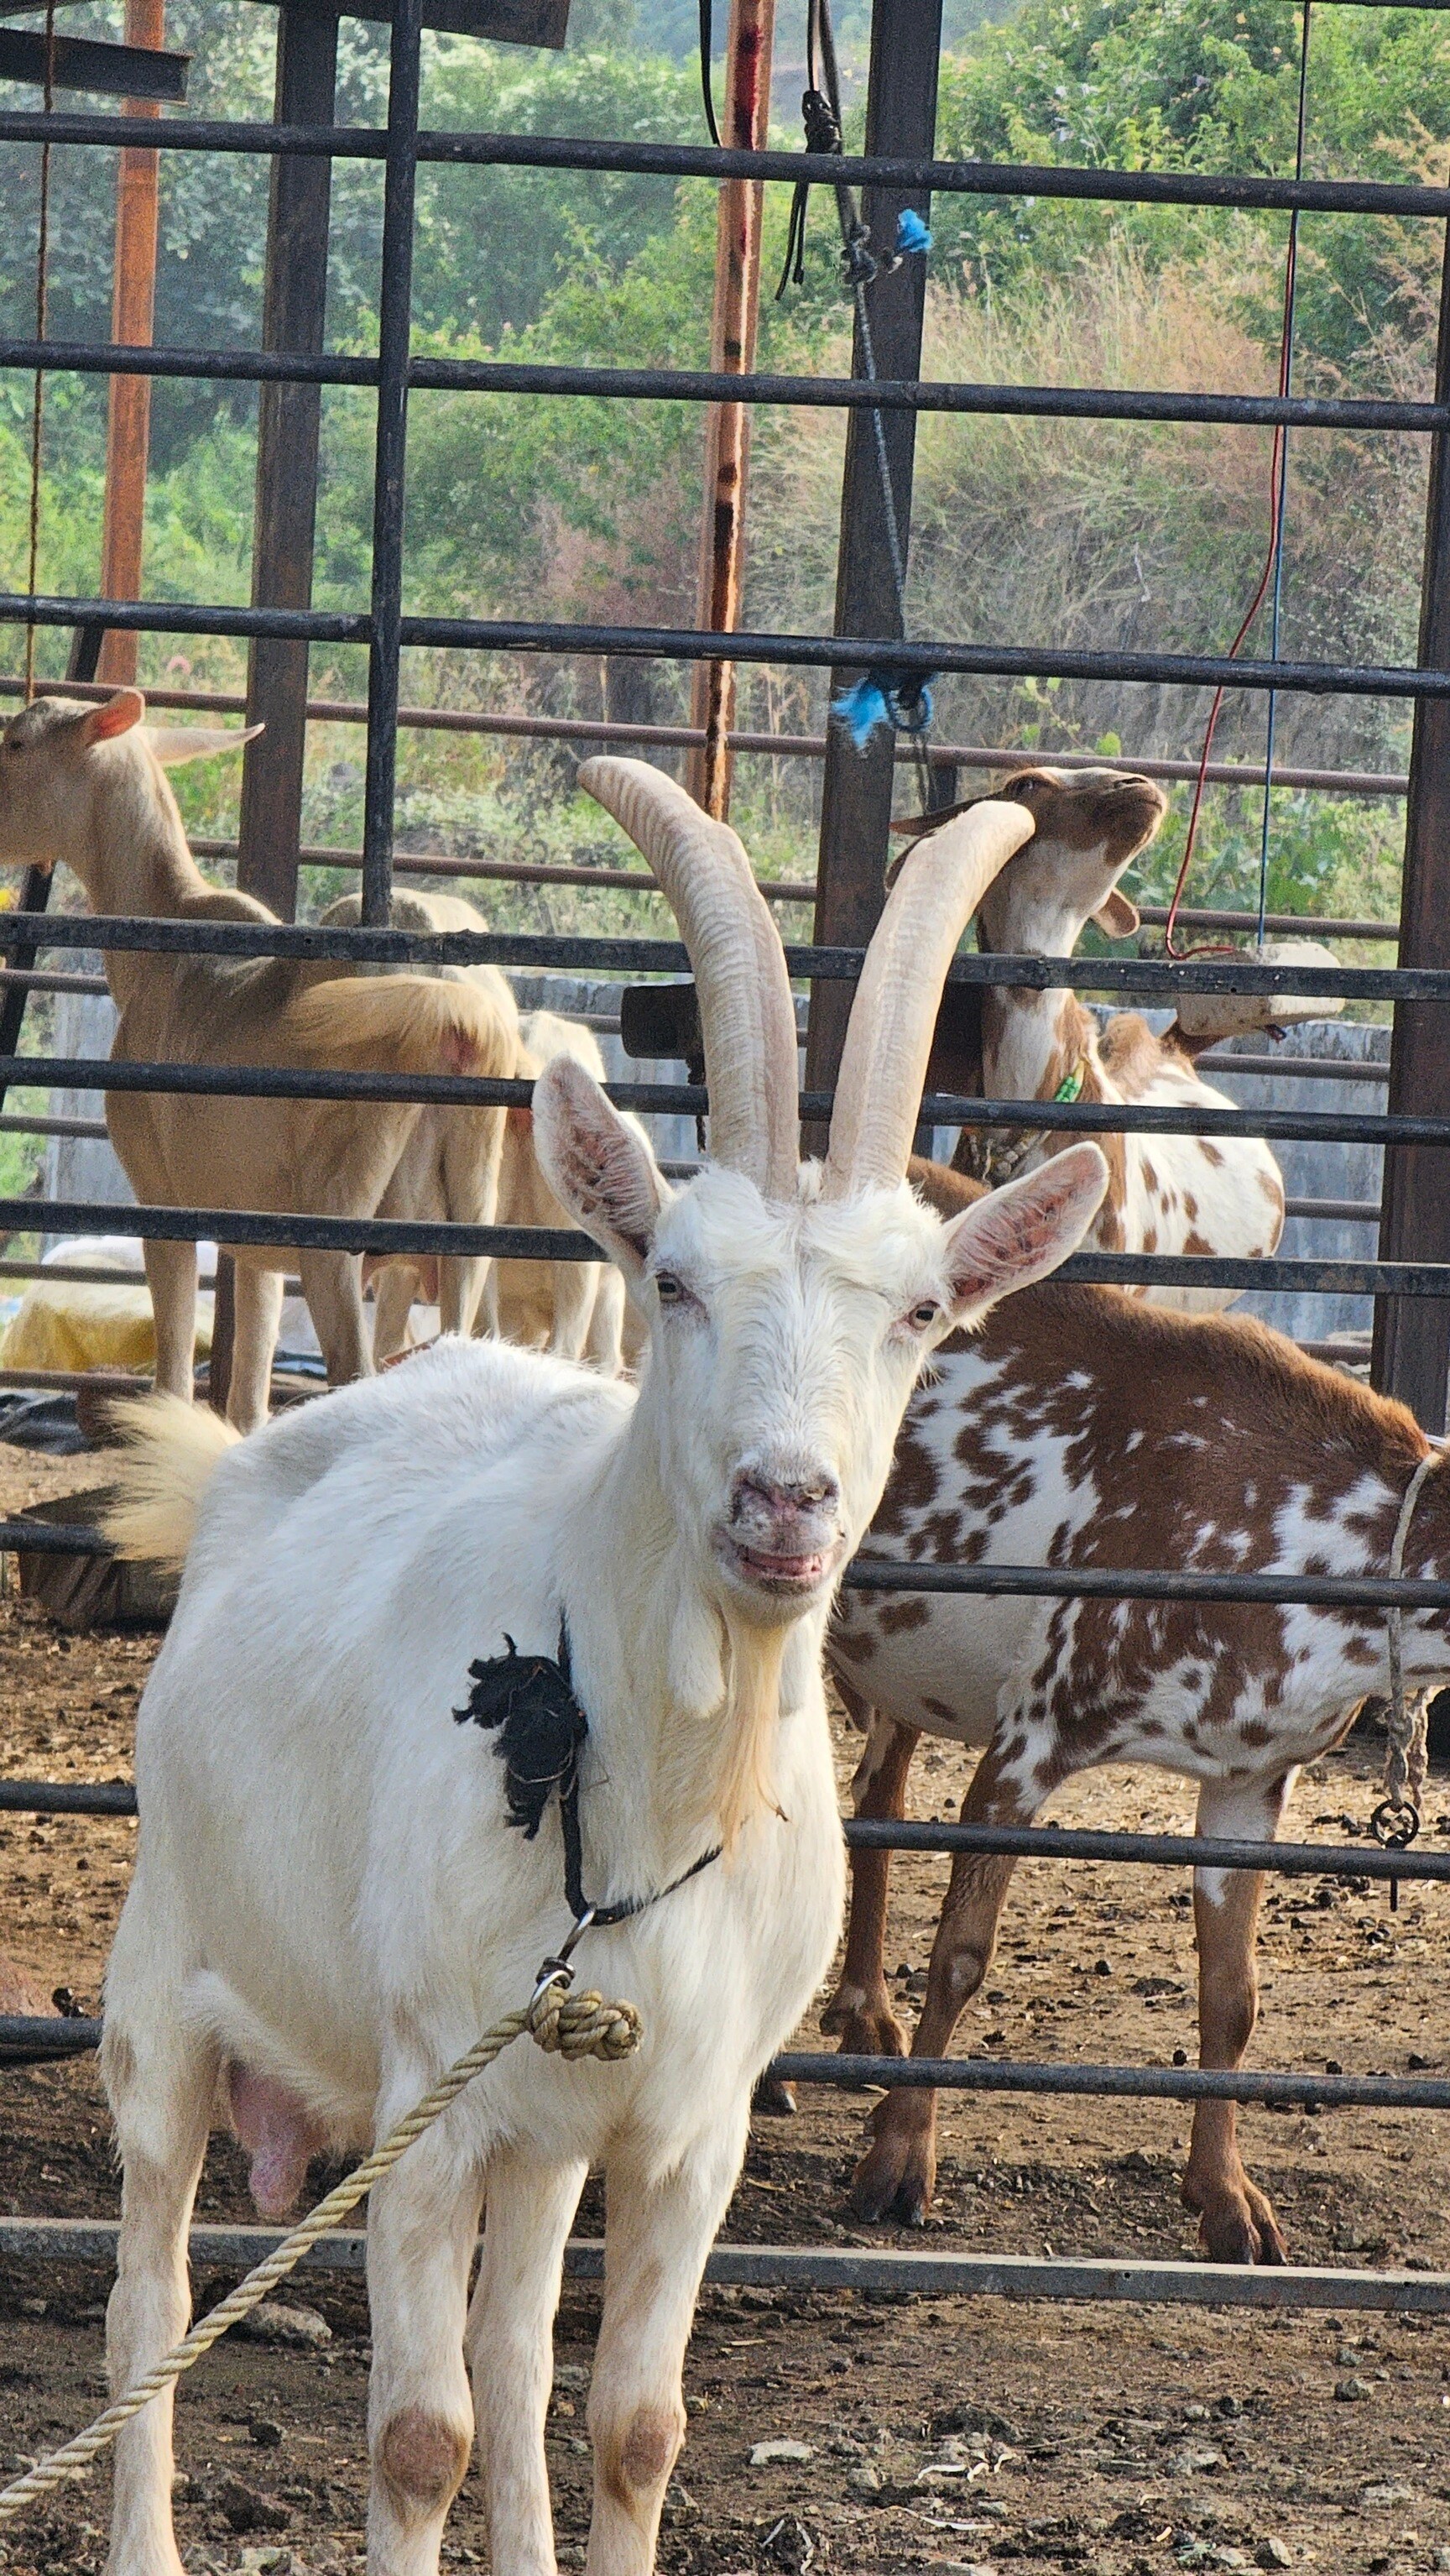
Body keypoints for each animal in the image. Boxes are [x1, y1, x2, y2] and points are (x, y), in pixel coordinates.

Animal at [0, 692, 516, 1432]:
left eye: (15, 741)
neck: (152, 940)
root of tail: (453, 1001)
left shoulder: (162, 1195)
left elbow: (174, 1377)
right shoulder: (255, 1229)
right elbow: (248, 1392)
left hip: (336, 1209)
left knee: (356, 1369)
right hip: (472, 1212)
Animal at [96, 761, 1107, 2576]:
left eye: (924, 1308)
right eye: (674, 1277)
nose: (784, 1497)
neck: (654, 1794)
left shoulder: (686, 2127)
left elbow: (633, 2421)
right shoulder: (429, 2095)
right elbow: (417, 2433)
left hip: (550, 2116)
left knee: (511, 2337)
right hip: (170, 1982)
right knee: (148, 2297)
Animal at [825, 1154, 1450, 2264]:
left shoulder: (1252, 1775)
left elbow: (1233, 1998)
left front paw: (1228, 2200)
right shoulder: (1033, 1729)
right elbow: (962, 1956)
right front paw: (898, 2163)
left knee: (874, 1791)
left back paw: (862, 2016)